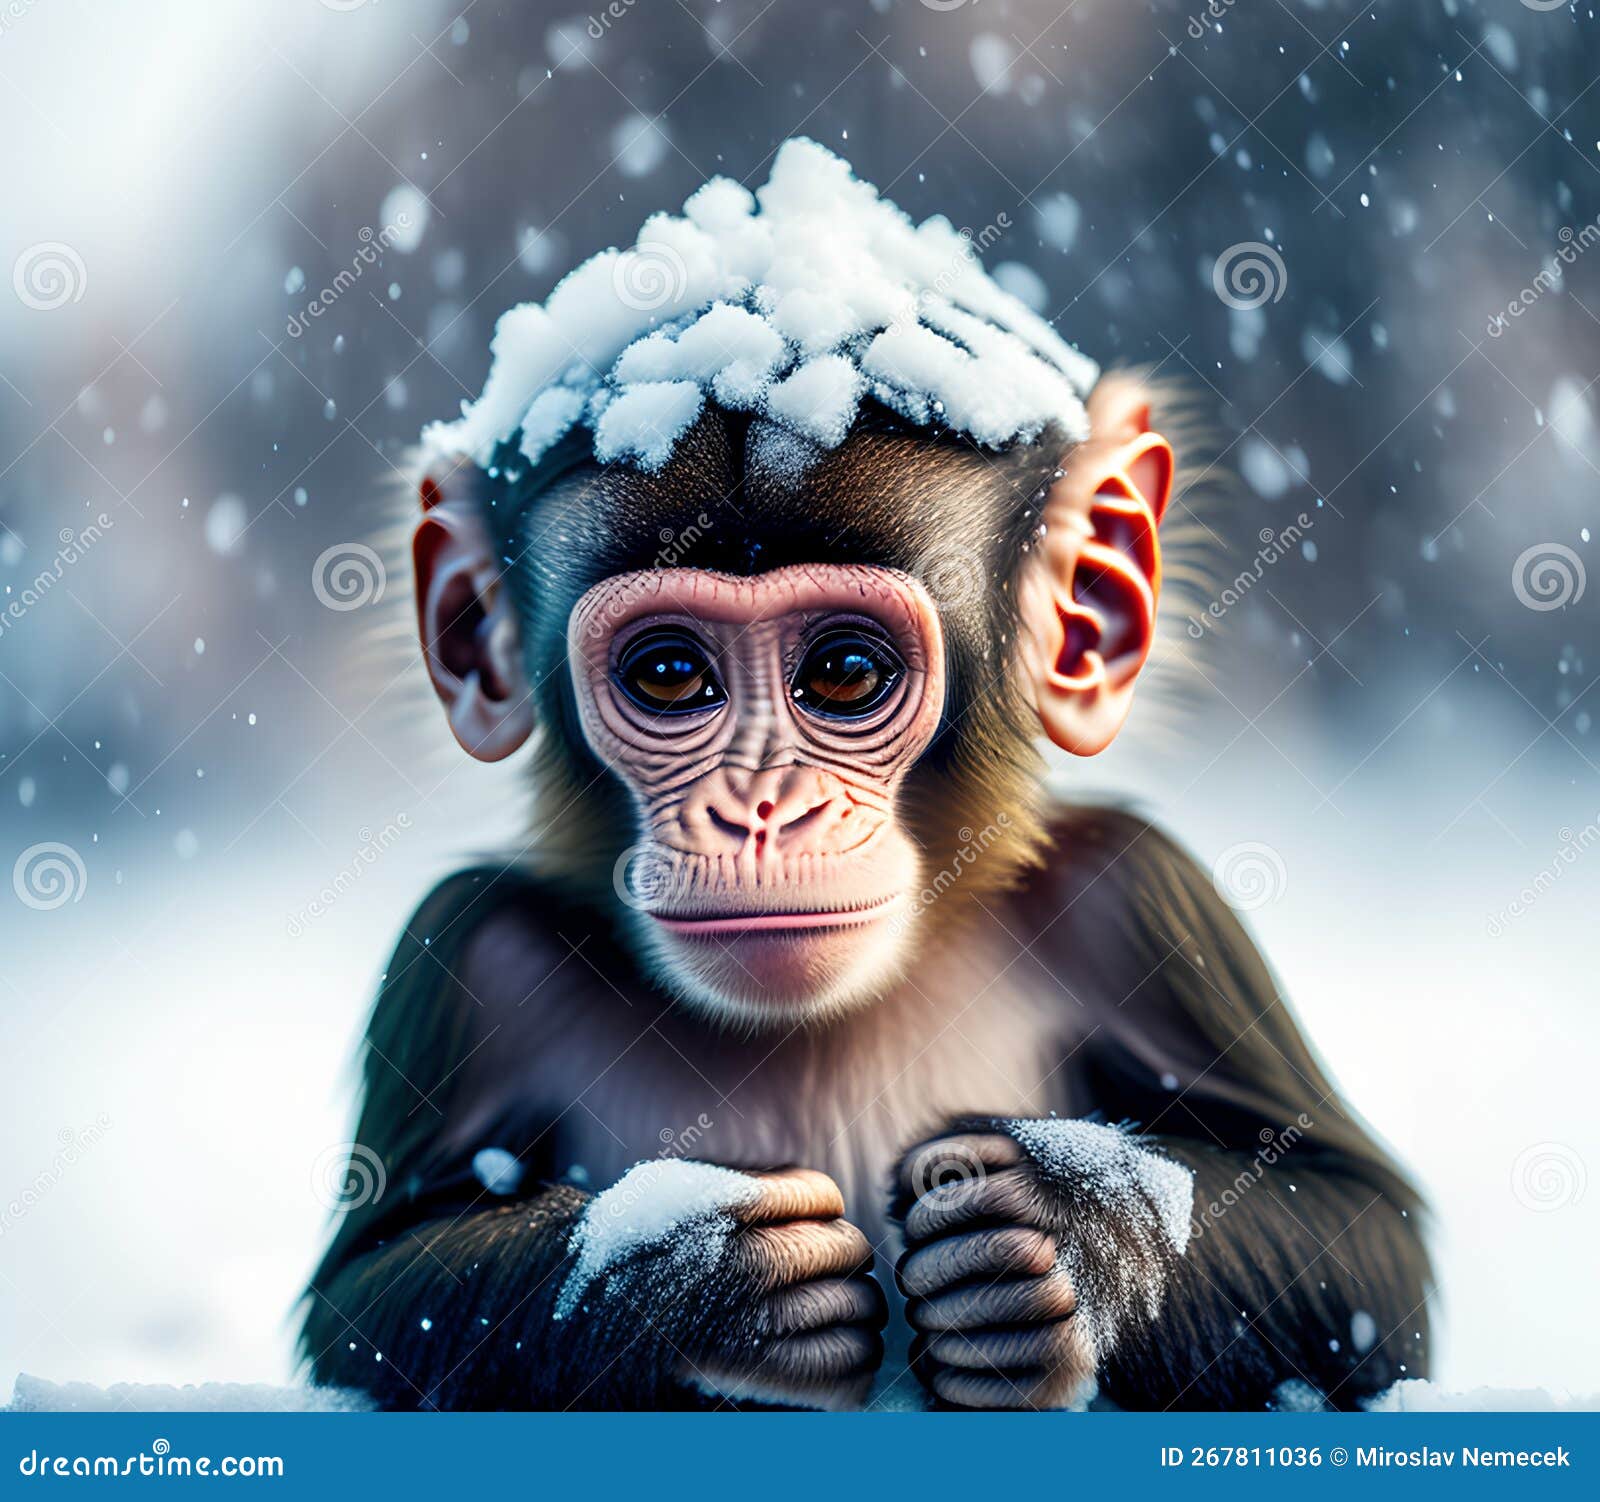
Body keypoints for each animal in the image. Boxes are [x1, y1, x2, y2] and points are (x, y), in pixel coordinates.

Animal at [299, 143, 1430, 1412]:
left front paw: (1058, 1237)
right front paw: (706, 1278)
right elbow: (368, 1296)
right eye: (670, 674)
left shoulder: (1141, 899)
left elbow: (1360, 1236)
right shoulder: (468, 955)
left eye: (843, 672)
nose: (759, 805)